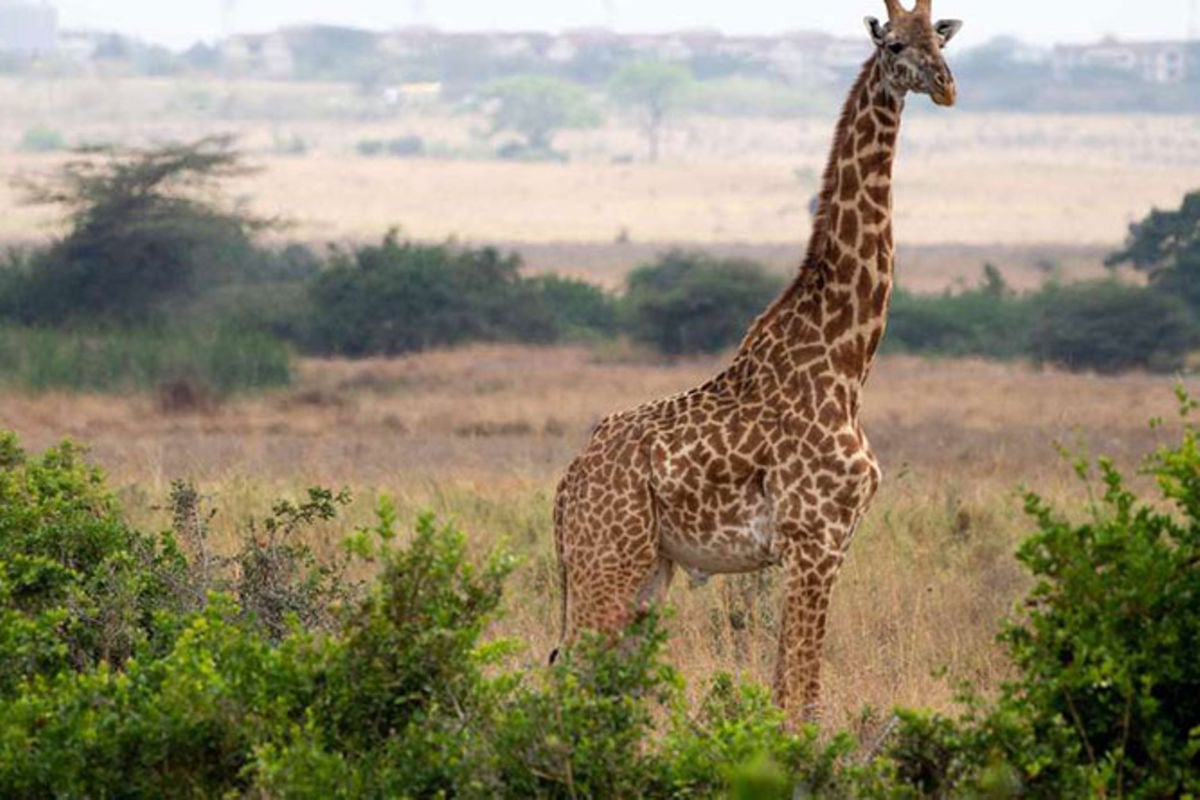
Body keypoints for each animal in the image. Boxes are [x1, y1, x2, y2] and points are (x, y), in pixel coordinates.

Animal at [551, 0, 963, 724]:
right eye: (893, 45)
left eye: (939, 41)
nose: (945, 86)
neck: (848, 358)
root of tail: (567, 485)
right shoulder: (813, 540)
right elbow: (799, 697)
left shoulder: (832, 543)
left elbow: (790, 690)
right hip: (608, 561)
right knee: (564, 677)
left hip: (646, 570)